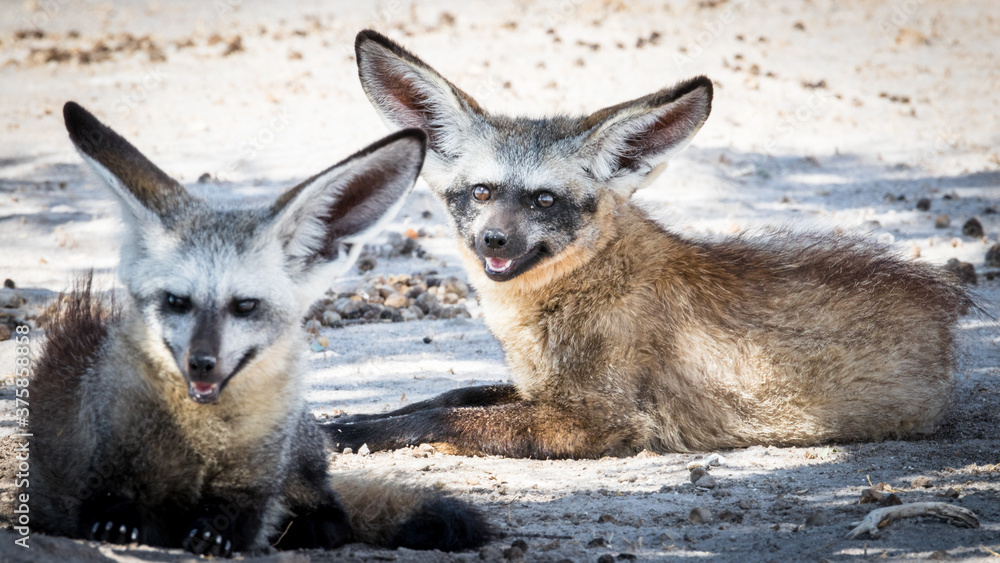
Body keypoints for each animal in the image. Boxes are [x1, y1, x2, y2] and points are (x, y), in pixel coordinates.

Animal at [28, 101, 490, 556]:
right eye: (177, 302)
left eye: (245, 306)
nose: (201, 364)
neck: (204, 437)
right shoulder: (100, 476)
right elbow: (113, 512)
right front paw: (125, 525)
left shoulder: (254, 491)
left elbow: (234, 524)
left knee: (333, 515)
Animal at [319, 30, 973, 459]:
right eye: (481, 192)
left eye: (544, 200)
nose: (493, 239)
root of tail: (939, 294)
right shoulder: (540, 390)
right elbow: (444, 395)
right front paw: (350, 418)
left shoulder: (599, 422)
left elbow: (442, 417)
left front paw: (350, 433)